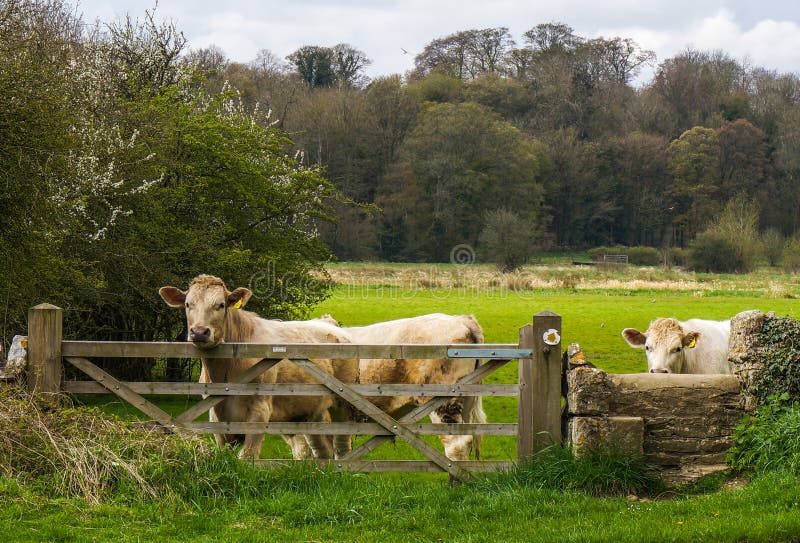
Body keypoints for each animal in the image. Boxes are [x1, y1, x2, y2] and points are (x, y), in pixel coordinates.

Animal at [159, 274, 358, 460]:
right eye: (187, 304)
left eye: (221, 305)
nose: (199, 332)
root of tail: (327, 322)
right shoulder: (215, 416)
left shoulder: (260, 409)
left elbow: (248, 456)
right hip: (310, 410)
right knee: (321, 449)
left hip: (343, 403)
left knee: (341, 445)